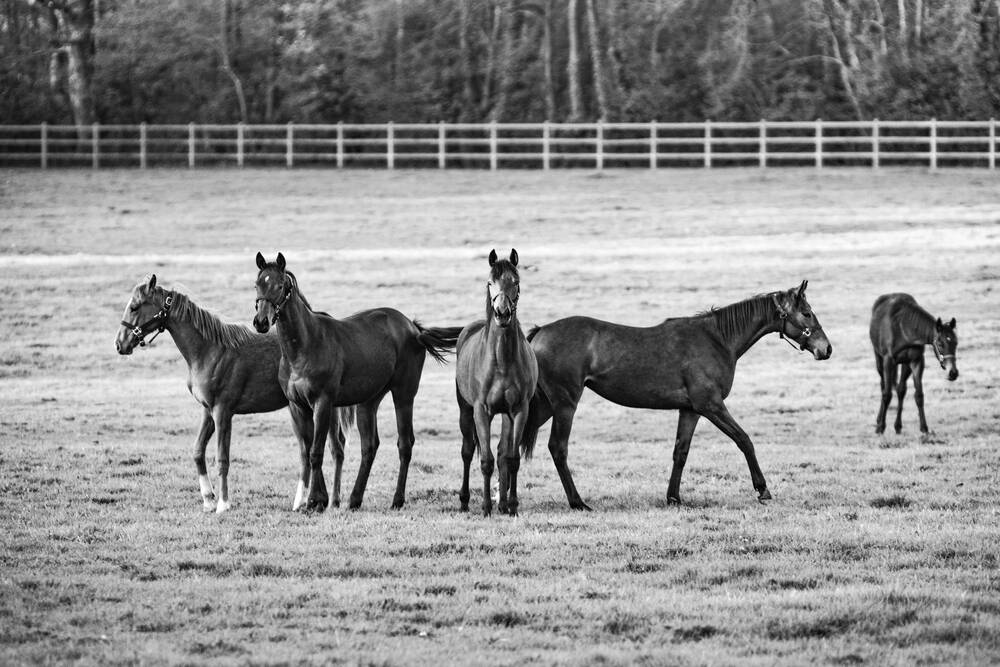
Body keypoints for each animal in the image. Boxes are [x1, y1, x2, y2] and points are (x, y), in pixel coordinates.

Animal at [115, 274, 355, 513]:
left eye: (135, 307)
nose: (120, 344)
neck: (209, 351)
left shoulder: (223, 412)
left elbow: (222, 459)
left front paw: (223, 503)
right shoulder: (208, 411)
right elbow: (197, 451)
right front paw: (208, 499)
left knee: (330, 450)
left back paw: (328, 501)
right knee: (320, 450)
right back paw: (314, 501)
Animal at [253, 252, 463, 513]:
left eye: (280, 286)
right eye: (257, 284)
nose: (261, 322)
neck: (304, 345)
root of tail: (413, 327)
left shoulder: (322, 403)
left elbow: (316, 452)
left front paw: (314, 501)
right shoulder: (298, 406)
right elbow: (309, 450)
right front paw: (319, 500)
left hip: (404, 394)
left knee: (405, 443)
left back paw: (397, 500)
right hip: (368, 401)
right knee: (369, 446)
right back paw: (354, 499)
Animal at [455, 249, 538, 517]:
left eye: (516, 281)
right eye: (490, 282)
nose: (502, 313)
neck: (502, 360)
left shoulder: (519, 410)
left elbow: (511, 459)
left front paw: (511, 506)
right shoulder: (481, 411)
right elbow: (486, 460)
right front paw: (485, 508)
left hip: (506, 415)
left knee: (502, 452)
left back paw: (502, 504)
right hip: (465, 410)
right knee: (467, 451)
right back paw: (464, 501)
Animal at [520, 280, 832, 509]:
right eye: (807, 313)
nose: (826, 348)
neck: (717, 339)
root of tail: (540, 332)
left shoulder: (690, 410)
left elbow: (680, 452)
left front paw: (673, 497)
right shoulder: (711, 406)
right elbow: (744, 440)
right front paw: (762, 488)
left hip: (546, 406)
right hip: (565, 405)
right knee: (558, 448)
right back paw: (577, 502)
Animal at [869, 293, 959, 435]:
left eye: (956, 343)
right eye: (940, 344)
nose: (953, 373)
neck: (903, 329)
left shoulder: (916, 362)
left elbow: (919, 395)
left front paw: (924, 428)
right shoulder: (888, 361)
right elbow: (887, 394)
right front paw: (880, 427)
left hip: (905, 364)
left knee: (901, 389)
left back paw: (898, 426)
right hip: (879, 358)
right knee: (883, 385)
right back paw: (879, 420)